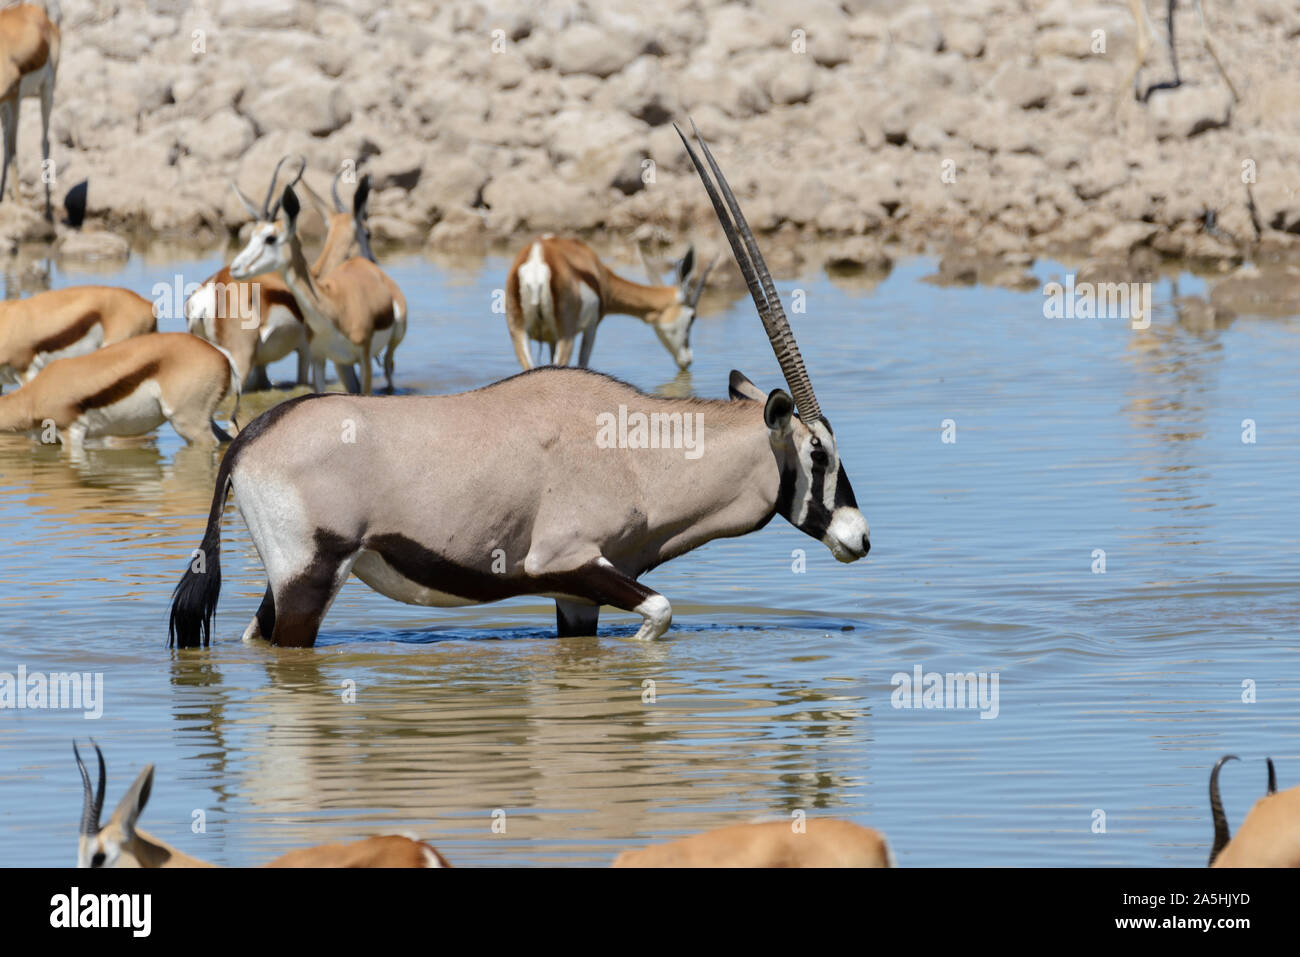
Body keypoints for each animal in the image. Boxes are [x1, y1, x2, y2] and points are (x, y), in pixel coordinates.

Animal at [0, 2, 58, 219]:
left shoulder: (14, 96)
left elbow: (14, 150)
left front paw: (18, 205)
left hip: (47, 88)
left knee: (44, 140)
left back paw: (48, 212)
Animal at [228, 181, 405, 396]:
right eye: (252, 235)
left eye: (270, 238)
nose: (235, 267)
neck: (334, 306)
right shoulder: (318, 359)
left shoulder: (363, 359)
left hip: (391, 343)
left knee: (388, 367)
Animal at [506, 235, 716, 371]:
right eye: (692, 317)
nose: (687, 359)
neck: (600, 276)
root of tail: (537, 256)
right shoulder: (591, 328)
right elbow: (583, 364)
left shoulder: (552, 339)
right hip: (567, 336)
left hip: (519, 332)